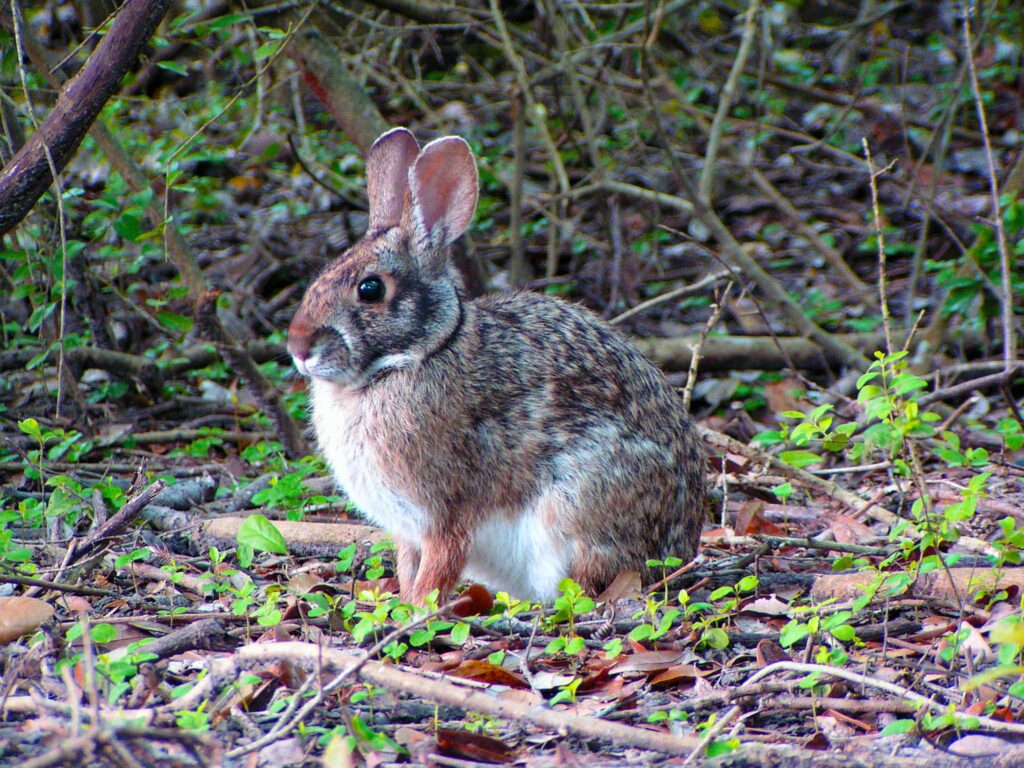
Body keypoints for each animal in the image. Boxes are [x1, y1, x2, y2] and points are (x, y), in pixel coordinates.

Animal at [287, 127, 706, 604]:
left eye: (370, 289)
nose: (298, 346)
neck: (419, 353)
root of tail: (680, 549)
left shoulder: (444, 514)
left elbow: (437, 568)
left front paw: (418, 609)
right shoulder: (407, 529)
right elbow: (408, 566)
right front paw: (401, 603)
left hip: (577, 504)